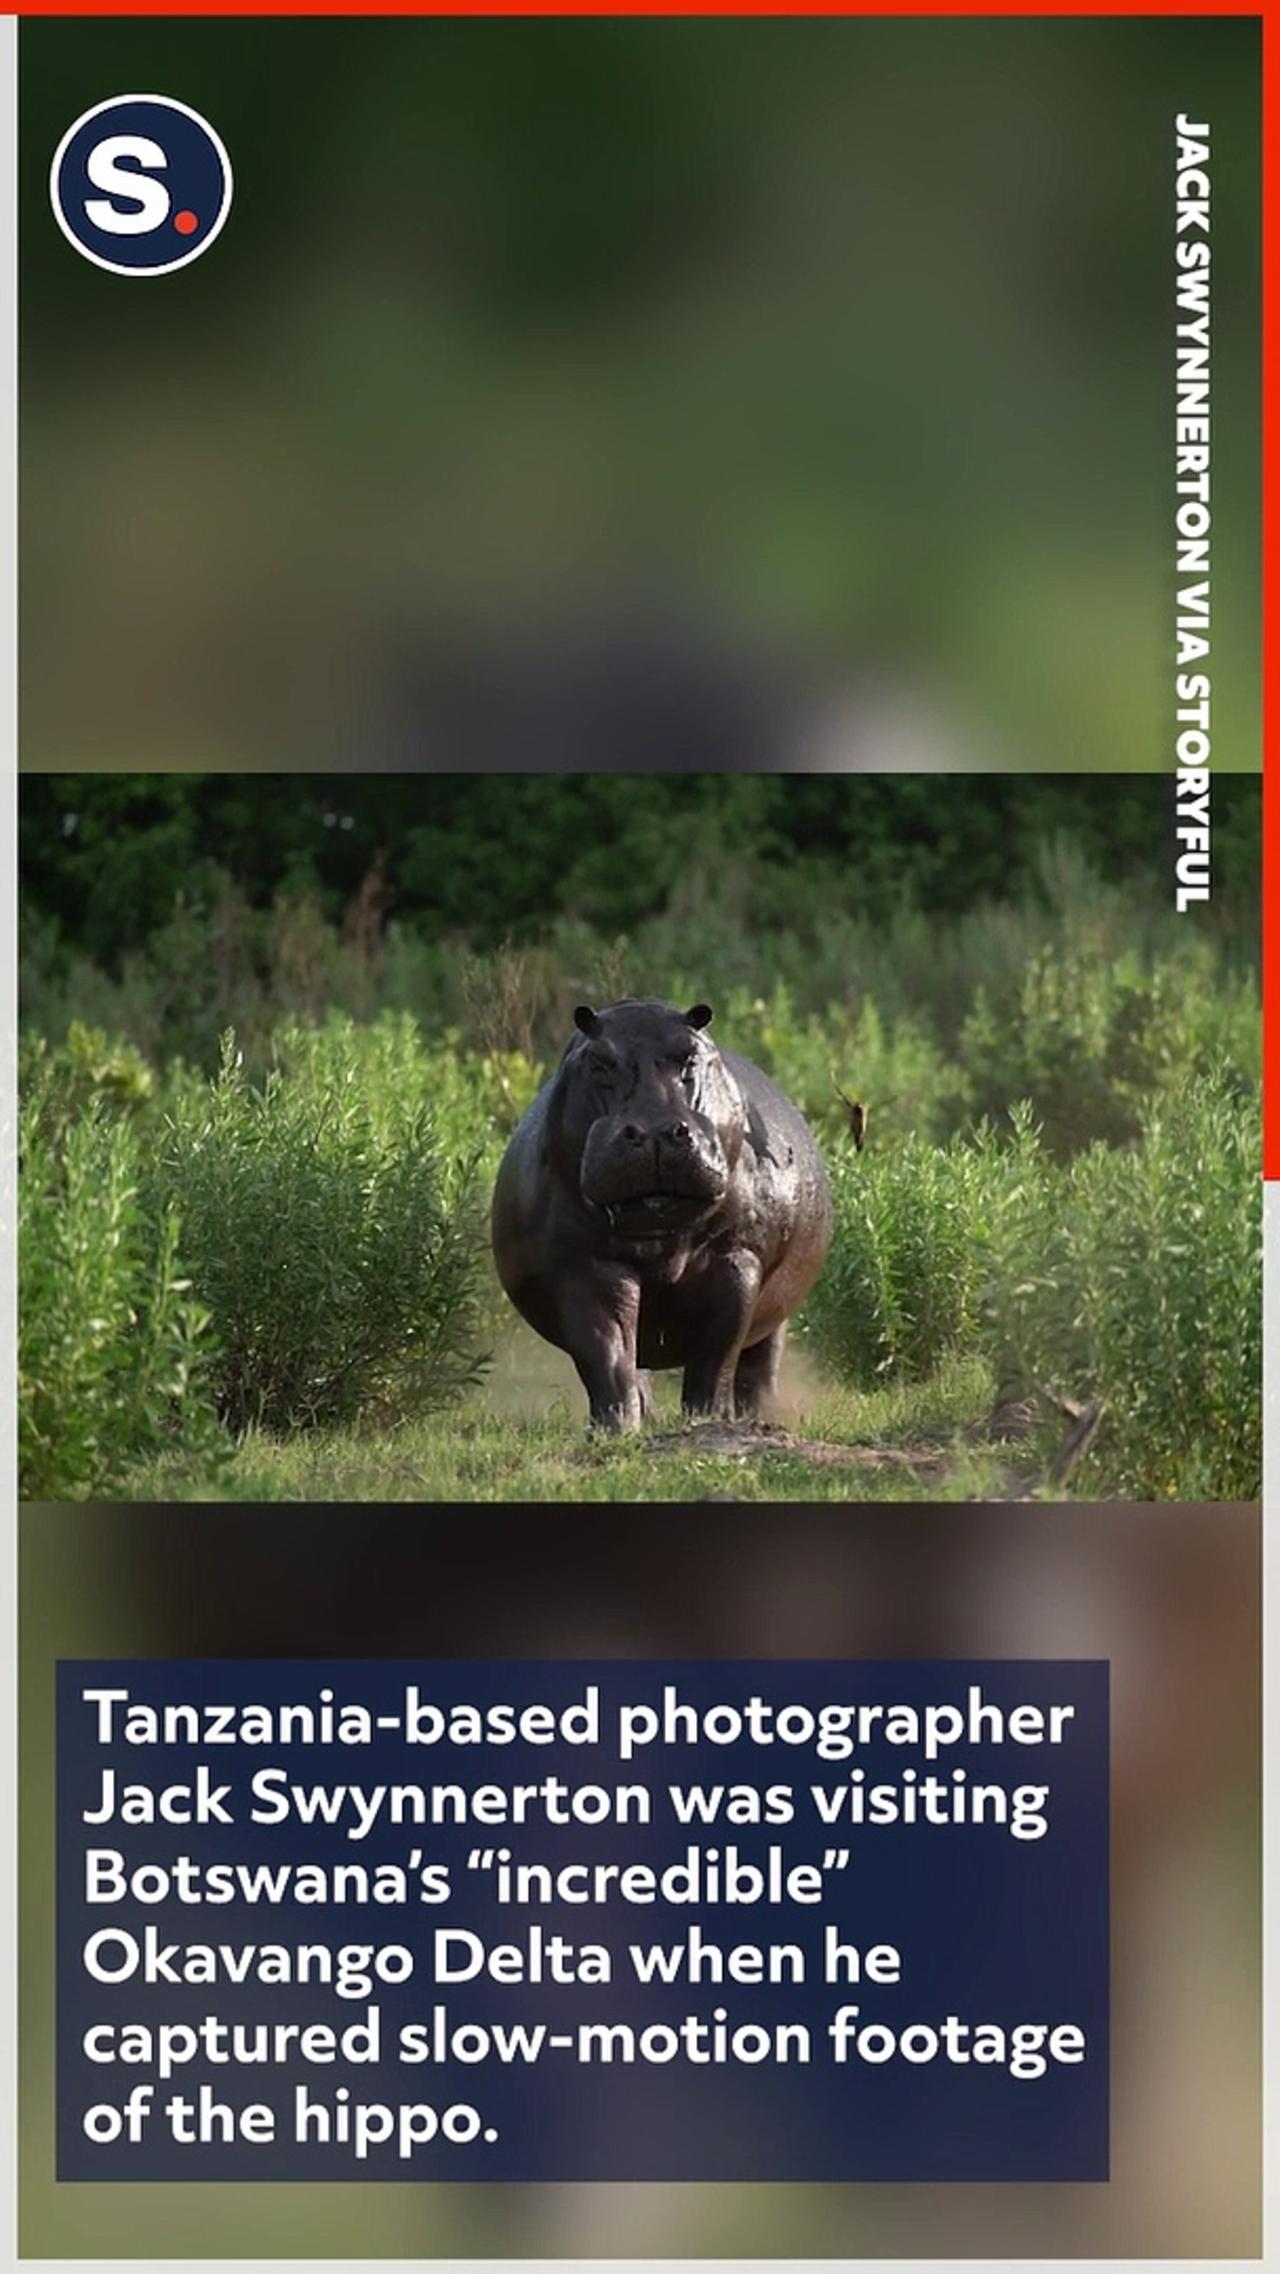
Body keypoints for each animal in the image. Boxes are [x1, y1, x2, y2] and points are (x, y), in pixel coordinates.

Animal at [491, 998, 832, 1430]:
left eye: (691, 1056)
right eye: (599, 1062)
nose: (654, 1132)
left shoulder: (736, 1259)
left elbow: (718, 1351)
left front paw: (707, 1419)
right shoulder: (585, 1266)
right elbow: (605, 1349)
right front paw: (615, 1428)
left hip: (780, 1303)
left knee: (762, 1354)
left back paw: (762, 1413)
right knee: (638, 1361)